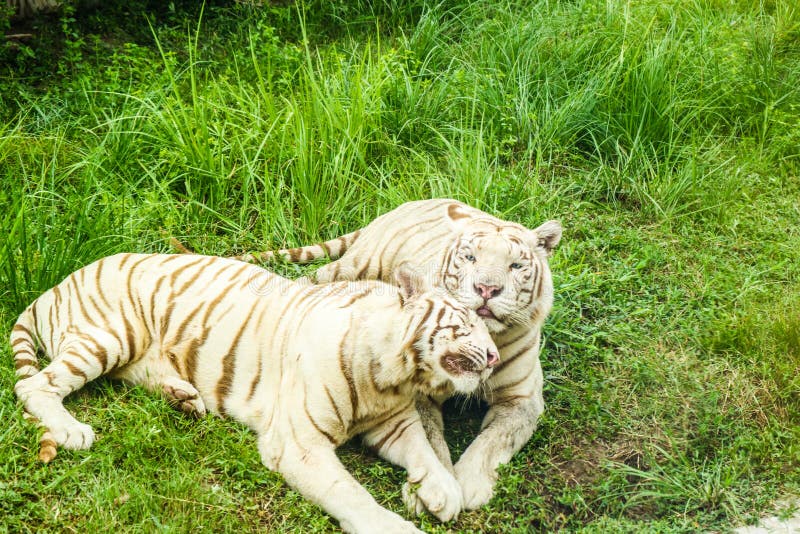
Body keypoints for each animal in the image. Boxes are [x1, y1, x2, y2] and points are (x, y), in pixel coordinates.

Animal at [11, 253, 500, 534]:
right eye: (468, 322)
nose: (495, 356)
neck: (395, 375)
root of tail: (53, 287)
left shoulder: (394, 424)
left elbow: (425, 453)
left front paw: (443, 491)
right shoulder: (299, 444)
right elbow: (350, 494)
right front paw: (398, 526)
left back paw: (184, 396)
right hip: (112, 335)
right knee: (31, 384)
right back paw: (71, 430)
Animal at [221, 198, 563, 510]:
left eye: (516, 266)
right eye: (470, 257)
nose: (486, 289)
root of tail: (414, 201)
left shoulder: (522, 399)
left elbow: (493, 441)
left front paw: (469, 484)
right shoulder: (418, 394)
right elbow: (431, 441)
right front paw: (435, 487)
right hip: (355, 265)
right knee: (309, 279)